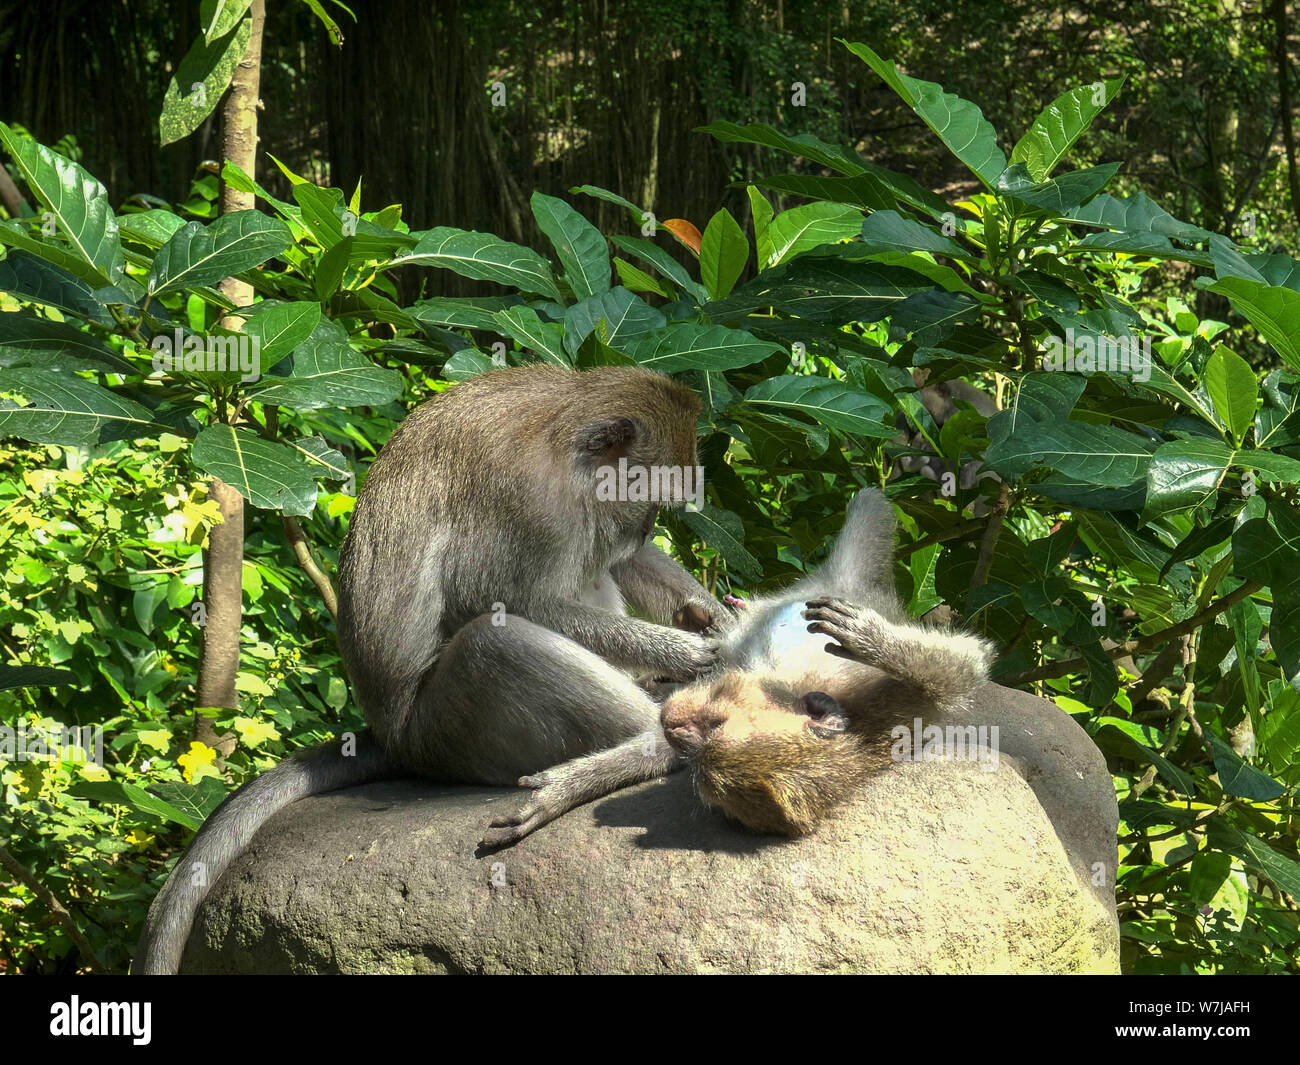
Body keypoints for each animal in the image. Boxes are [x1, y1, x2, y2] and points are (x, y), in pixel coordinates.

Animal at [135, 363, 729, 974]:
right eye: (650, 499)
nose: (644, 529)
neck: (563, 440)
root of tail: (390, 738)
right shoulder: (528, 503)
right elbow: (491, 598)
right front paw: (690, 651)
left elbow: (612, 564)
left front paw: (716, 616)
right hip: (450, 731)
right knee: (494, 641)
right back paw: (643, 749)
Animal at [492, 489, 994, 839]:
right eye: (716, 723)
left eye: (700, 755)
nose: (673, 722)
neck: (787, 685)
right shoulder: (876, 692)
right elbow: (961, 669)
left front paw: (567, 788)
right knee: (870, 500)